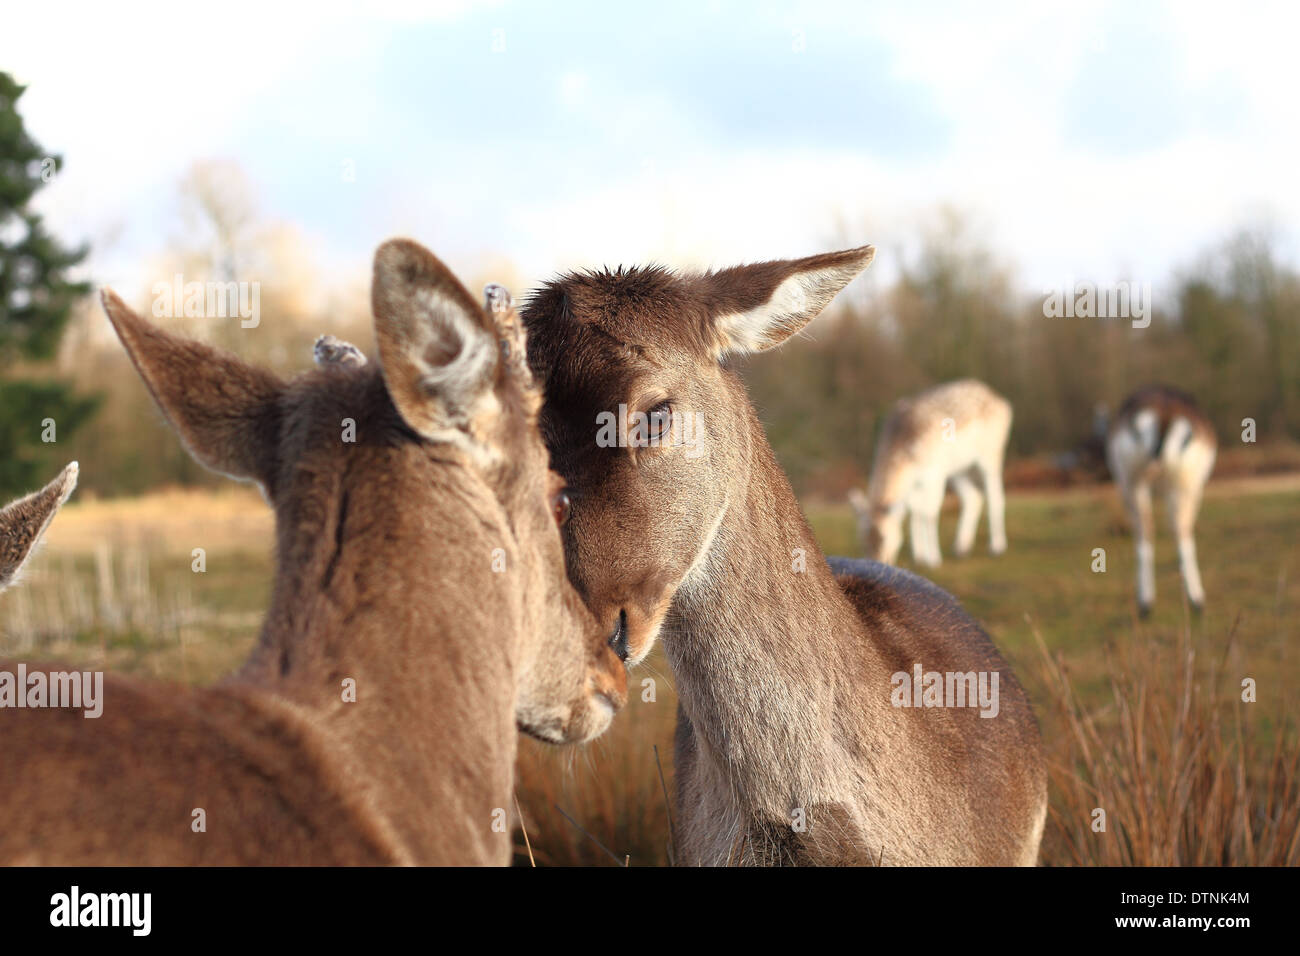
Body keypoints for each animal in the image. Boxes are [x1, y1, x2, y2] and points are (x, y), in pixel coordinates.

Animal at [848, 379, 1012, 567]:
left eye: (884, 538)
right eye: (862, 542)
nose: (877, 563)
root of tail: (1000, 399)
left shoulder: (934, 472)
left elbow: (929, 512)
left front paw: (933, 559)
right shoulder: (915, 482)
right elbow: (915, 511)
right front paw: (918, 557)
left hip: (990, 454)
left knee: (995, 495)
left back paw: (996, 547)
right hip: (959, 469)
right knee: (972, 497)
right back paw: (961, 548)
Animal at [1105, 385, 1217, 616]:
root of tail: (1165, 414)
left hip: (1134, 481)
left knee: (1149, 528)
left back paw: (1148, 602)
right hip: (1181, 483)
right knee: (1177, 530)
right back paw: (1194, 600)